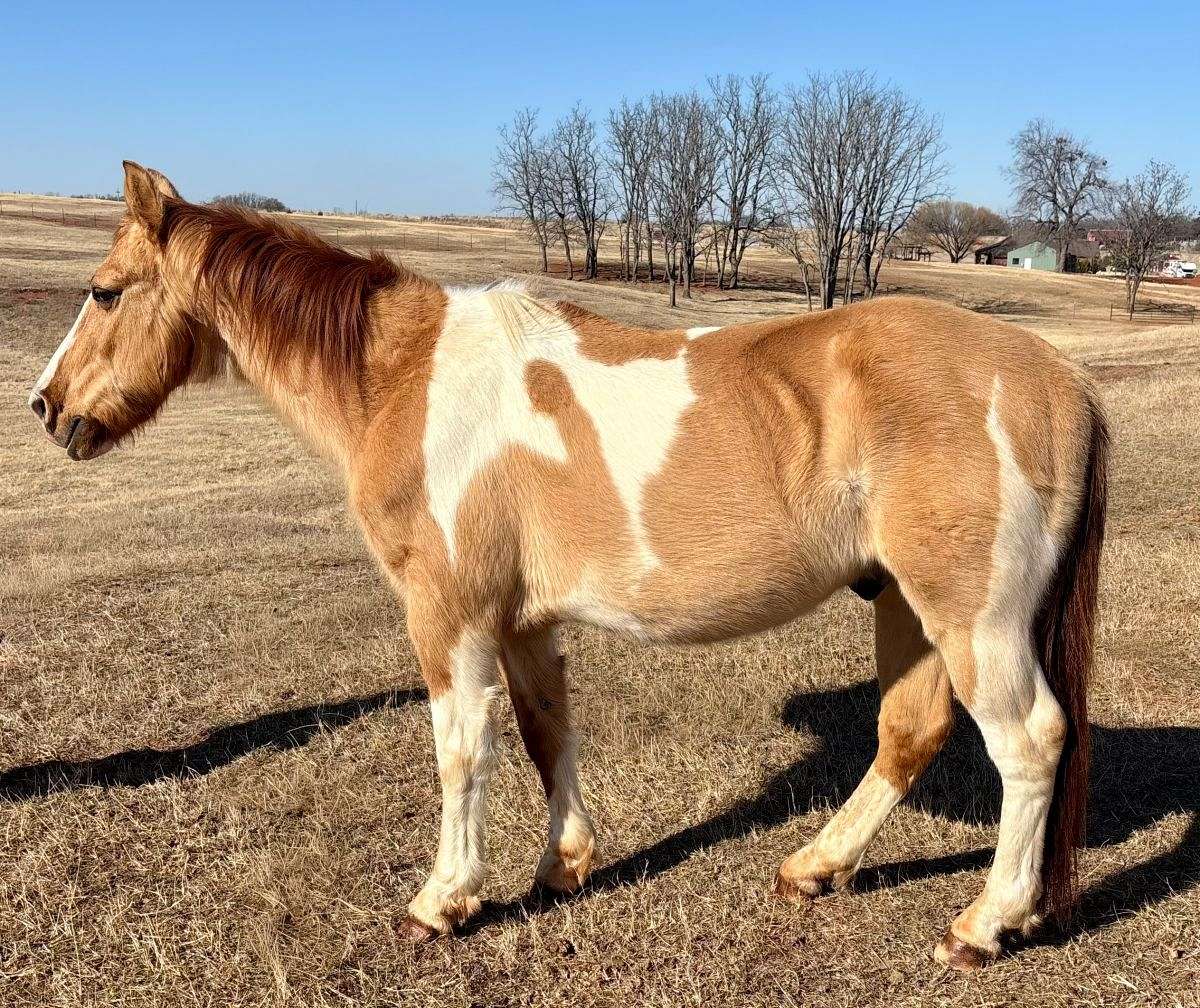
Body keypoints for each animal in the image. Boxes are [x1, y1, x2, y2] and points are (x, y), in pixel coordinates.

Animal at [29, 162, 1108, 970]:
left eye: (104, 290)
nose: (46, 407)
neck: (407, 379)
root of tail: (1058, 377)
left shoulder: (449, 615)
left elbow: (463, 751)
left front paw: (445, 899)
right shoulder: (524, 622)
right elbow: (548, 733)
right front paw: (563, 866)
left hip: (973, 619)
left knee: (1030, 742)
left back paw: (984, 923)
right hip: (907, 608)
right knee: (910, 732)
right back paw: (814, 867)